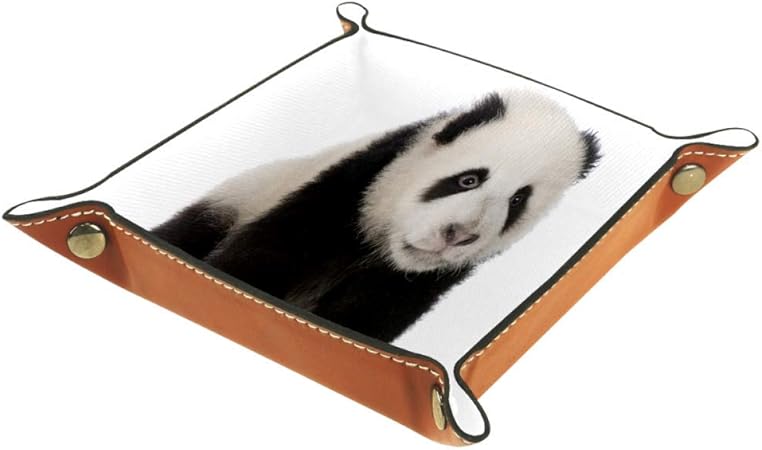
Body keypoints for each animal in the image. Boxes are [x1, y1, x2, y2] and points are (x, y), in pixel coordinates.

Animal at [152, 89, 601, 342]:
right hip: (238, 196)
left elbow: (365, 314)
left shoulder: (418, 280)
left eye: (516, 202)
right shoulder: (351, 187)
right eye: (469, 180)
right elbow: (265, 253)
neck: (378, 245)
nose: (458, 235)